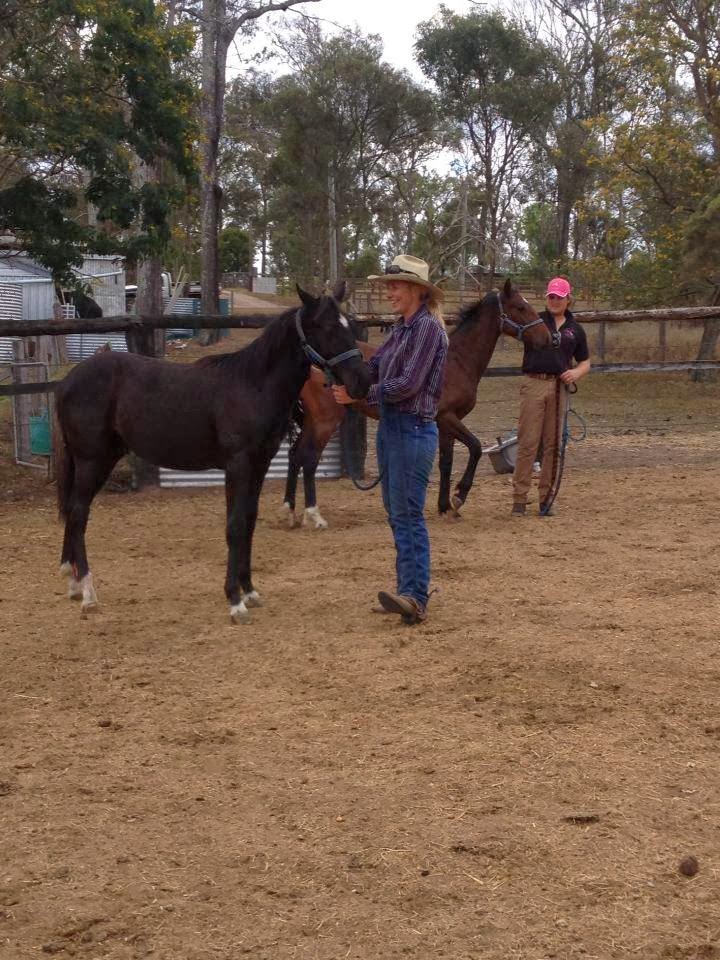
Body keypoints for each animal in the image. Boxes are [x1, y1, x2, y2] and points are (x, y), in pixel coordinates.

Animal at [53, 282, 371, 623]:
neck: (252, 385)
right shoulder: (238, 465)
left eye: (350, 325)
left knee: (73, 513)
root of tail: (69, 380)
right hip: (91, 460)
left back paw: (73, 584)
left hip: (102, 458)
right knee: (78, 514)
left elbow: (249, 521)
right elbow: (234, 525)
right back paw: (88, 592)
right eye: (326, 327)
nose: (362, 381)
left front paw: (250, 591)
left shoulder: (260, 464)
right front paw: (235, 601)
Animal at [282, 278, 550, 527]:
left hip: (313, 420)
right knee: (309, 458)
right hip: (325, 420)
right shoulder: (447, 417)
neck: (456, 361)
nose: (546, 338)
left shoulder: (446, 426)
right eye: (520, 307)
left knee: (295, 455)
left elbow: (445, 463)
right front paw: (459, 496)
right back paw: (313, 515)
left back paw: (290, 512)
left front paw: (445, 506)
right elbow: (474, 447)